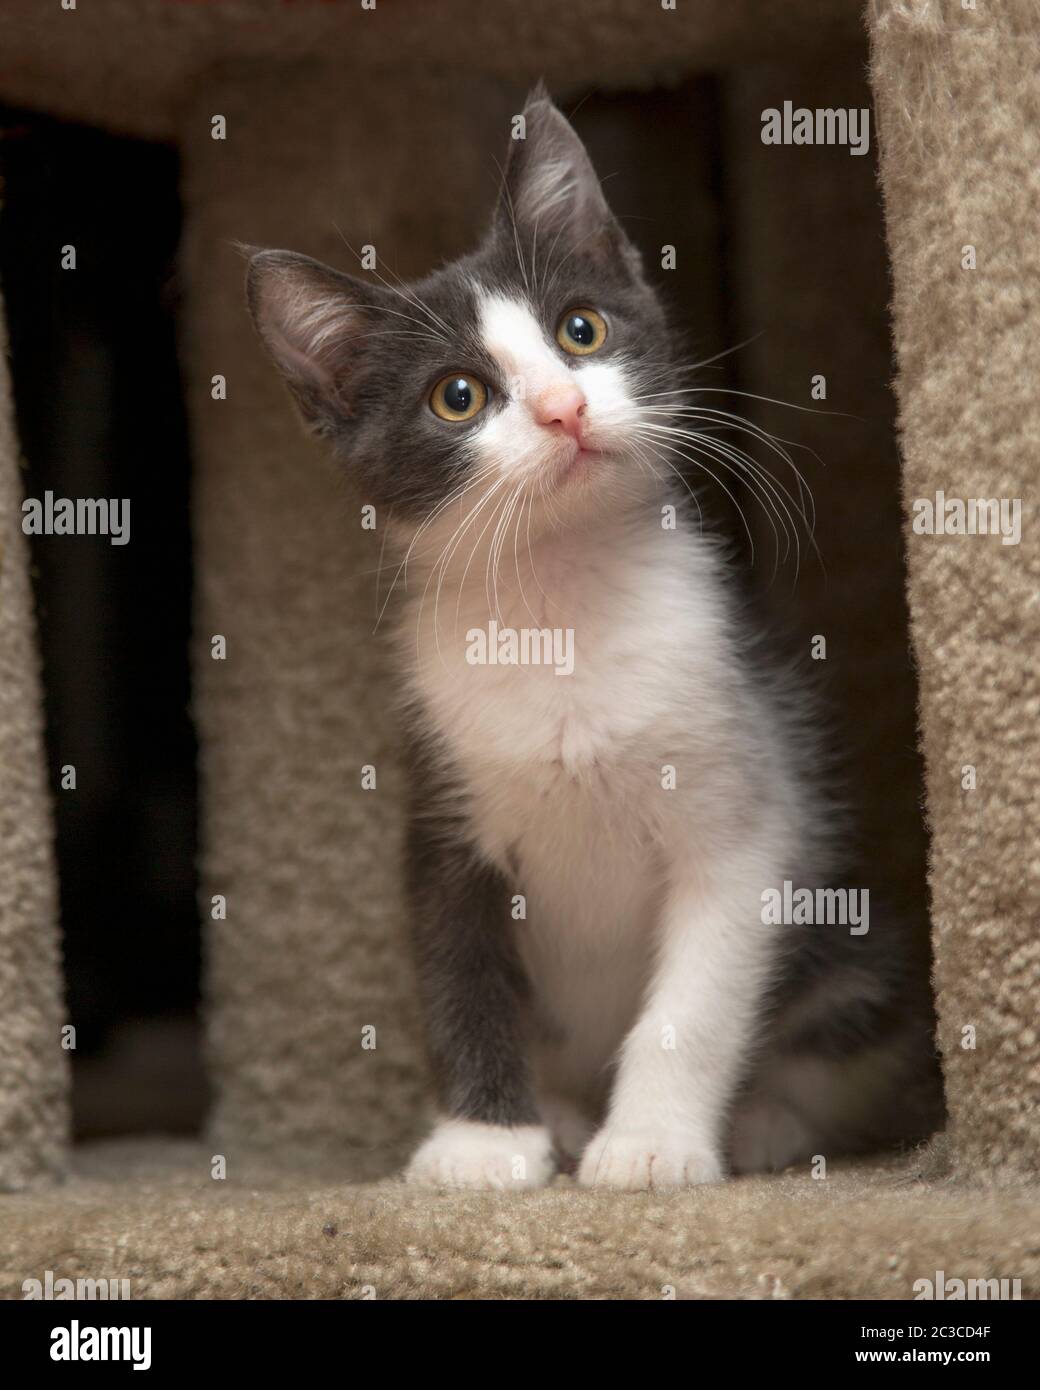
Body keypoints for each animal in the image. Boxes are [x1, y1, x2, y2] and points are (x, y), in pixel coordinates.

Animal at [246, 89, 939, 1195]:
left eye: (581, 331)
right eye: (457, 396)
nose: (564, 408)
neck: (561, 609)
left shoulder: (746, 811)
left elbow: (693, 1004)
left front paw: (654, 1143)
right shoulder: (444, 813)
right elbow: (460, 976)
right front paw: (483, 1141)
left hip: (851, 947)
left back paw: (765, 1123)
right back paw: (565, 1116)